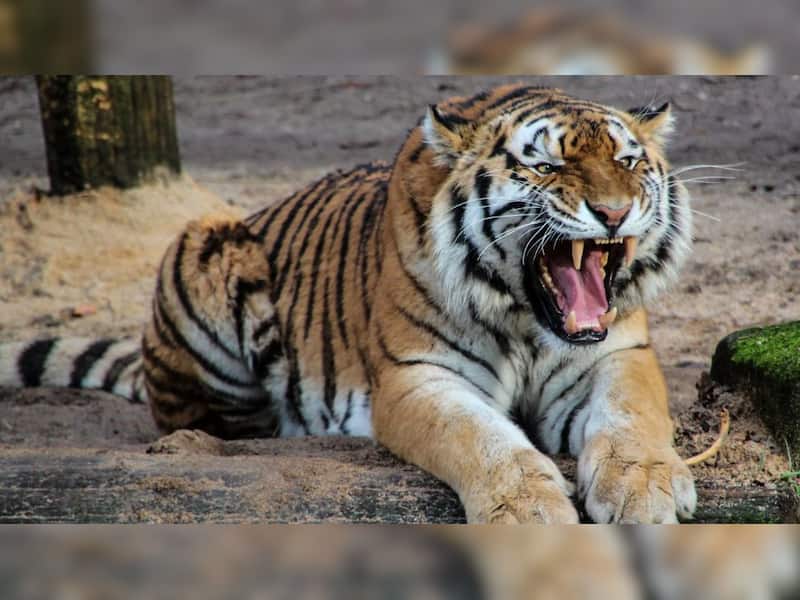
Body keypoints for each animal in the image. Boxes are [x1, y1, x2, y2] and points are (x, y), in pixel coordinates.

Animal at [0, 83, 696, 524]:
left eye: (628, 161)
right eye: (547, 167)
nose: (614, 212)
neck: (528, 319)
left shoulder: (617, 354)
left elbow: (633, 417)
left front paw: (645, 489)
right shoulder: (418, 377)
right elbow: (480, 437)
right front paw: (529, 508)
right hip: (204, 243)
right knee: (208, 420)